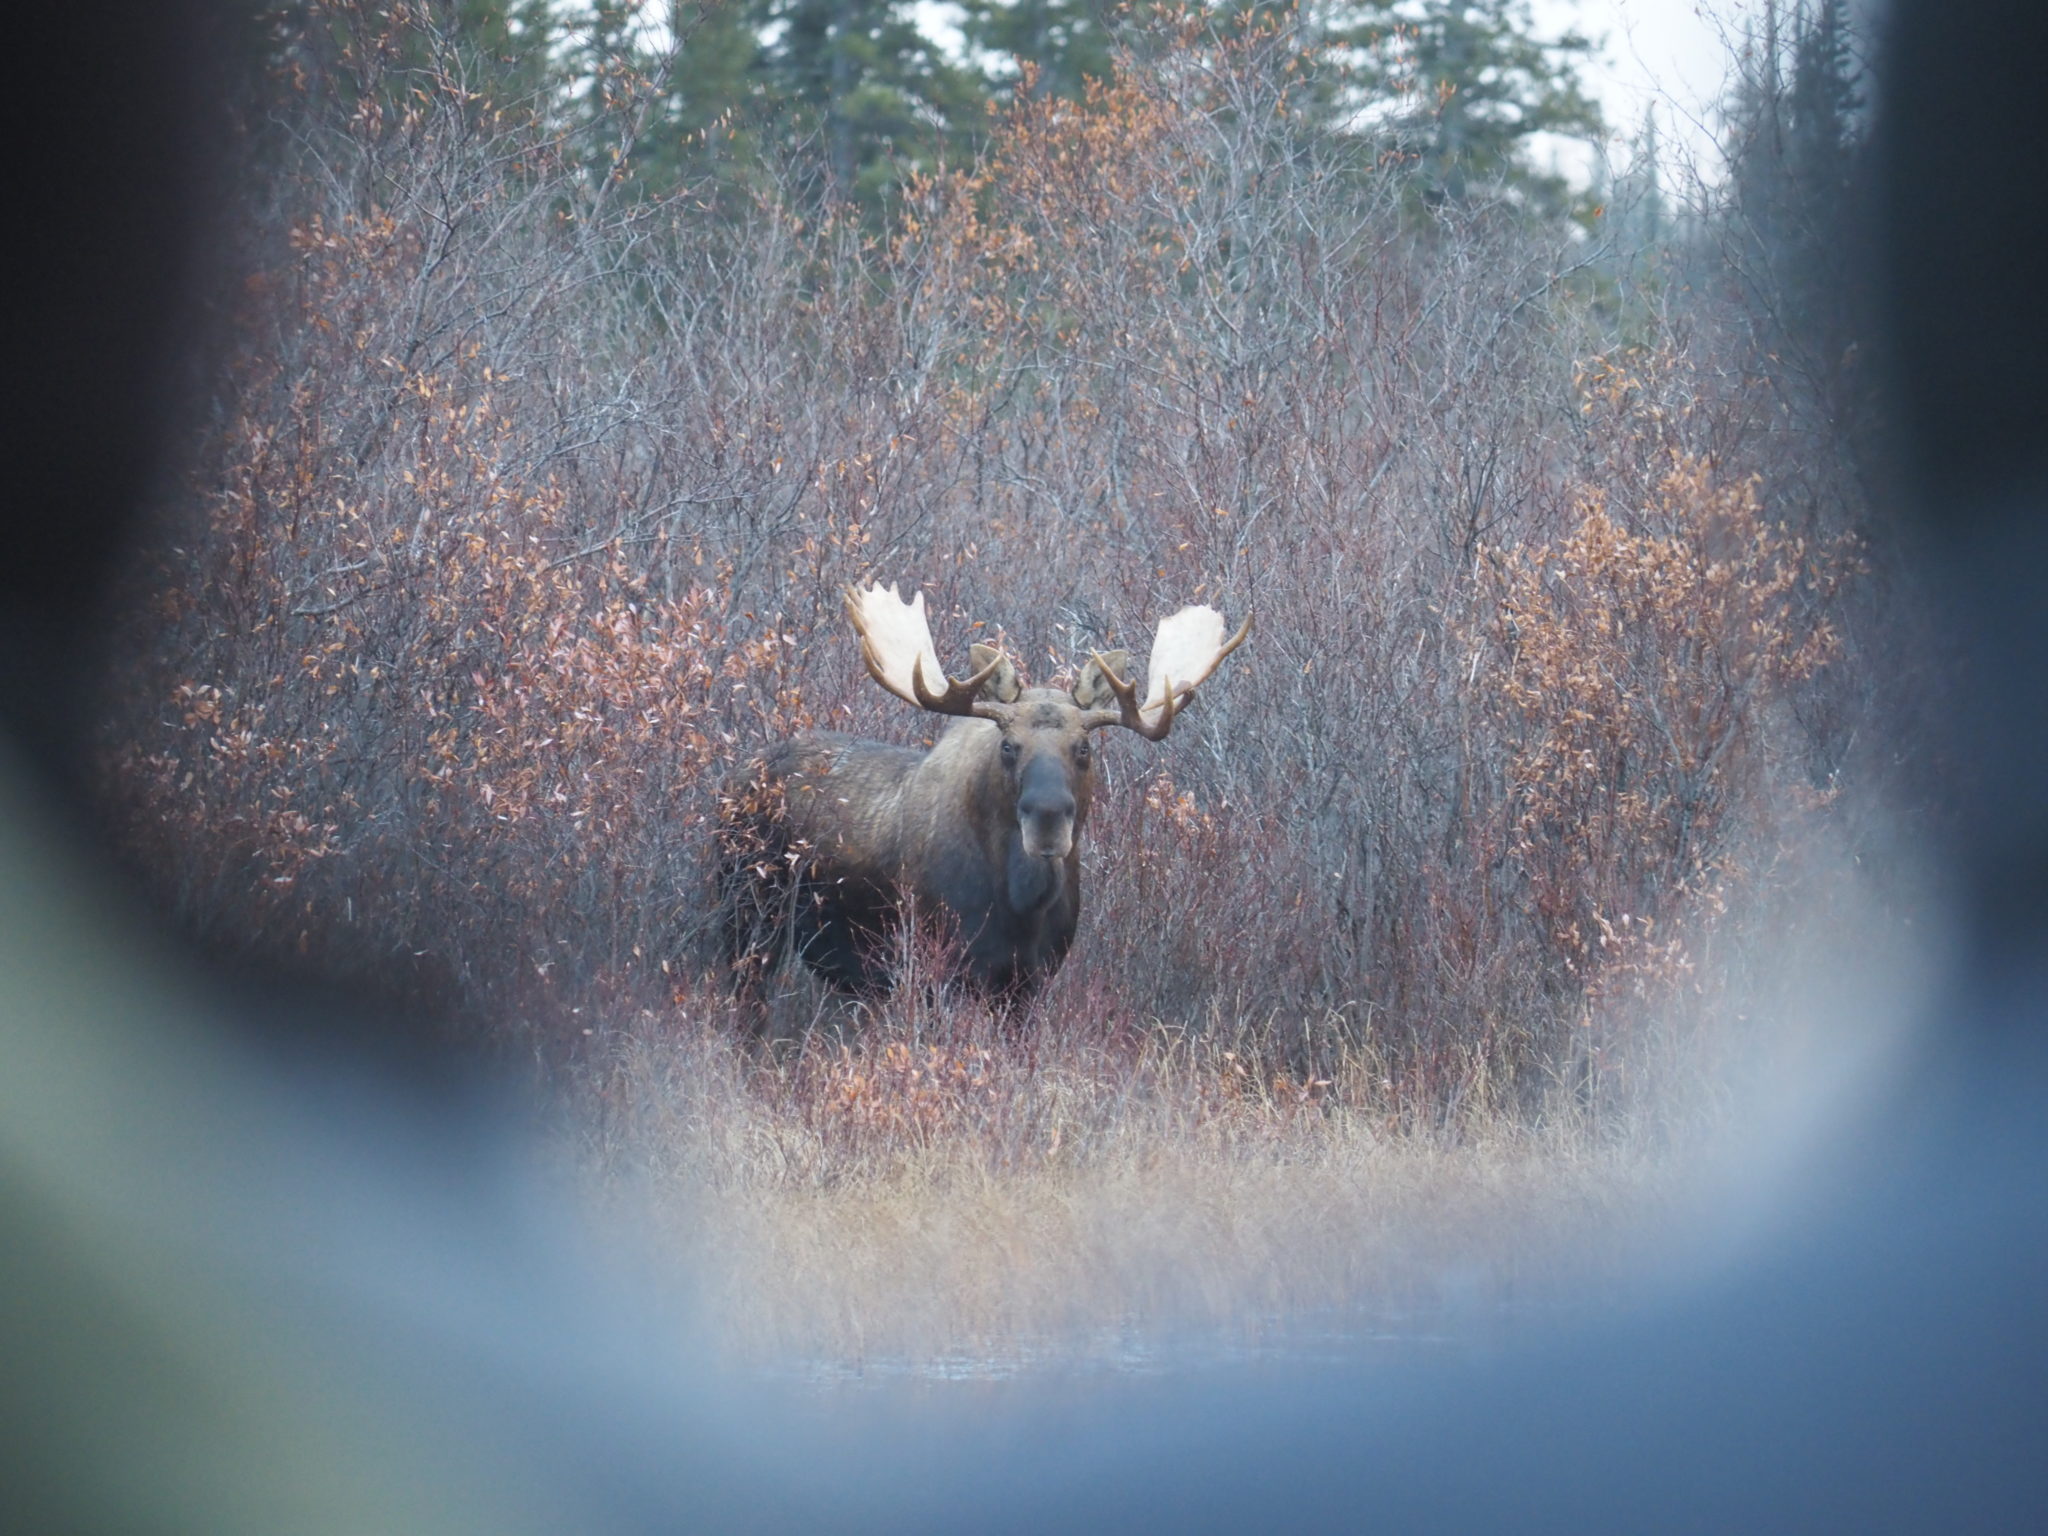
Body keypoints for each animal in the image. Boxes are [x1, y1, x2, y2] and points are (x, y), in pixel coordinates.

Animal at [714, 582, 1251, 1014]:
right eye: (1008, 745)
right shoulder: (939, 975)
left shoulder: (1030, 984)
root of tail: (734, 774)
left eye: (1083, 748)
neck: (1022, 906)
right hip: (745, 918)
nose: (1048, 820)